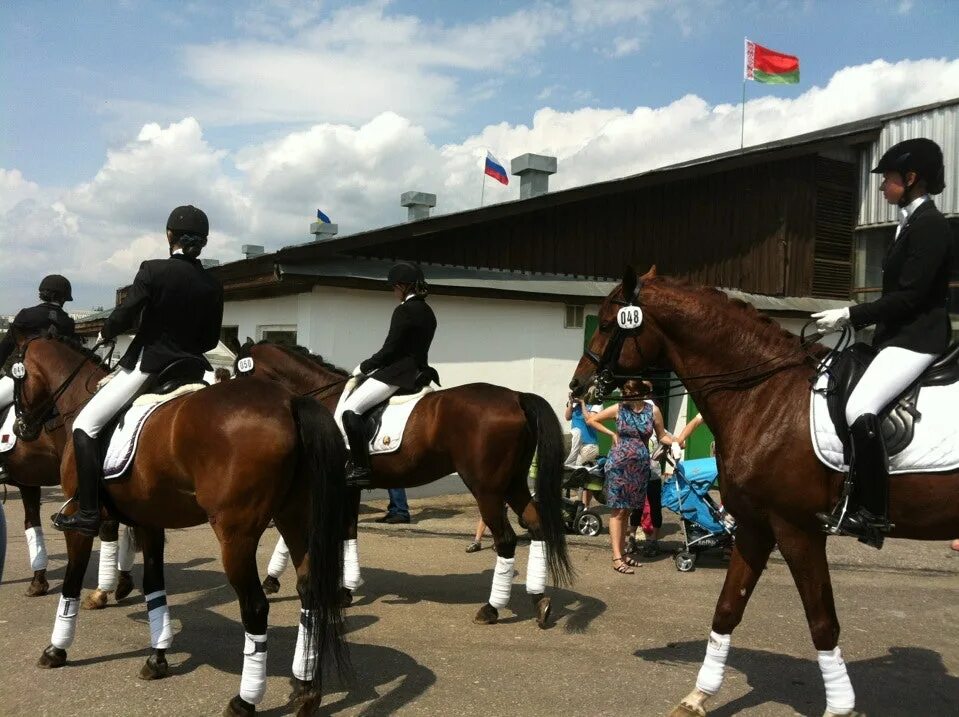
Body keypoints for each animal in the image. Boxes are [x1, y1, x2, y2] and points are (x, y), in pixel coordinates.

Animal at [13, 338, 350, 716]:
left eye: (12, 370)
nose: (21, 429)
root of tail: (290, 401)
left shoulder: (80, 527)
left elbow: (71, 583)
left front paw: (56, 649)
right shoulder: (149, 522)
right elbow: (154, 586)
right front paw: (157, 658)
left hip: (236, 535)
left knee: (255, 607)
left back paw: (245, 699)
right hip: (294, 518)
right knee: (309, 591)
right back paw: (306, 690)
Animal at [236, 338, 572, 624]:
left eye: (241, 370)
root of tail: (516, 397)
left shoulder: (323, 484)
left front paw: (275, 580)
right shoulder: (345, 487)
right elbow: (347, 531)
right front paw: (344, 588)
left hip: (487, 489)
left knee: (506, 540)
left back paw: (491, 608)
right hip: (512, 483)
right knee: (537, 525)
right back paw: (539, 600)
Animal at [568, 266, 959, 716]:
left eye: (607, 323)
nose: (577, 387)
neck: (766, 396)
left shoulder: (797, 530)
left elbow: (822, 622)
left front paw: (839, 707)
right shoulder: (755, 525)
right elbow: (727, 608)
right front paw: (698, 695)